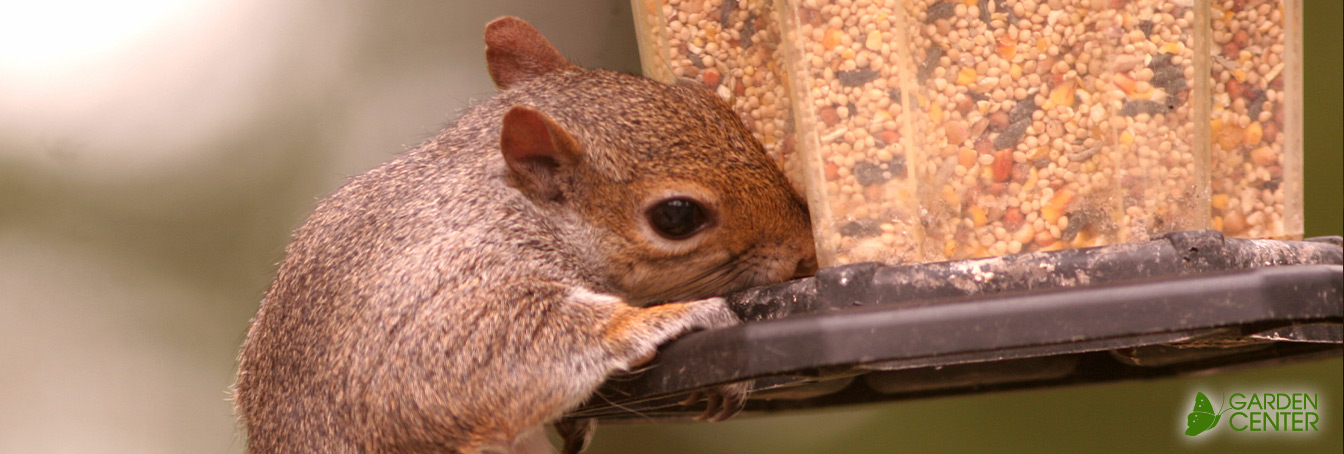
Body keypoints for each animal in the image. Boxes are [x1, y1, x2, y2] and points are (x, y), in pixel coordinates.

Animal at [235, 16, 815, 454]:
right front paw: (677, 316)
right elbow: (491, 351)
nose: (804, 247)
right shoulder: (446, 280)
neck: (520, 205)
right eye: (676, 216)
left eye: (708, 103)